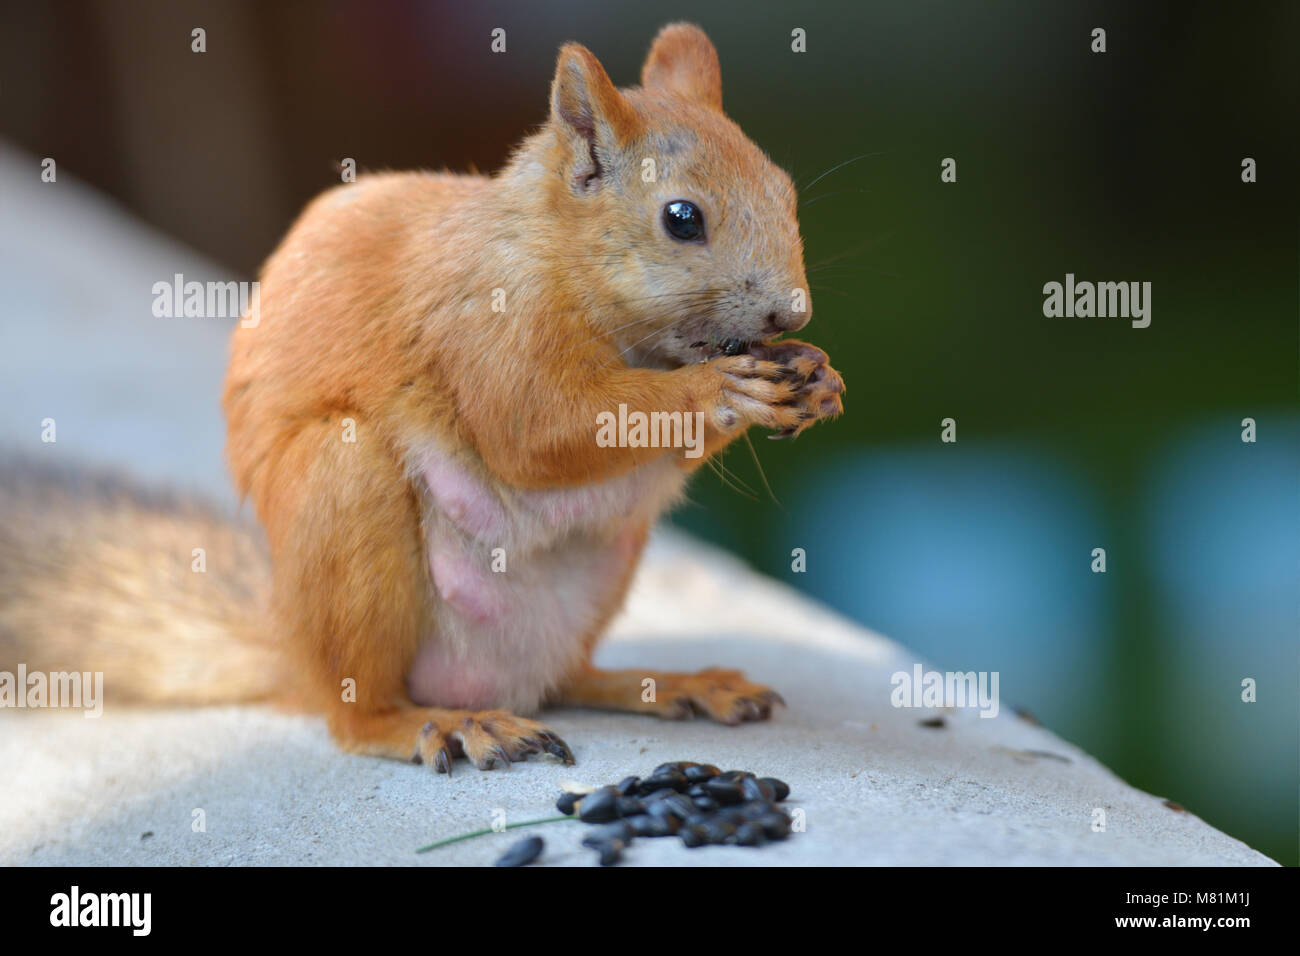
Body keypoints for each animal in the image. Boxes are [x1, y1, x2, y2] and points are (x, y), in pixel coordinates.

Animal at [0, 24, 843, 772]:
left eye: (784, 191)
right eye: (682, 219)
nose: (791, 314)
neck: (558, 256)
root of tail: (289, 650)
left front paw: (817, 376)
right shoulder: (488, 326)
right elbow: (536, 431)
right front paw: (721, 387)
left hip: (606, 572)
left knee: (566, 680)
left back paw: (670, 684)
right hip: (344, 494)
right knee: (355, 710)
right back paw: (437, 724)